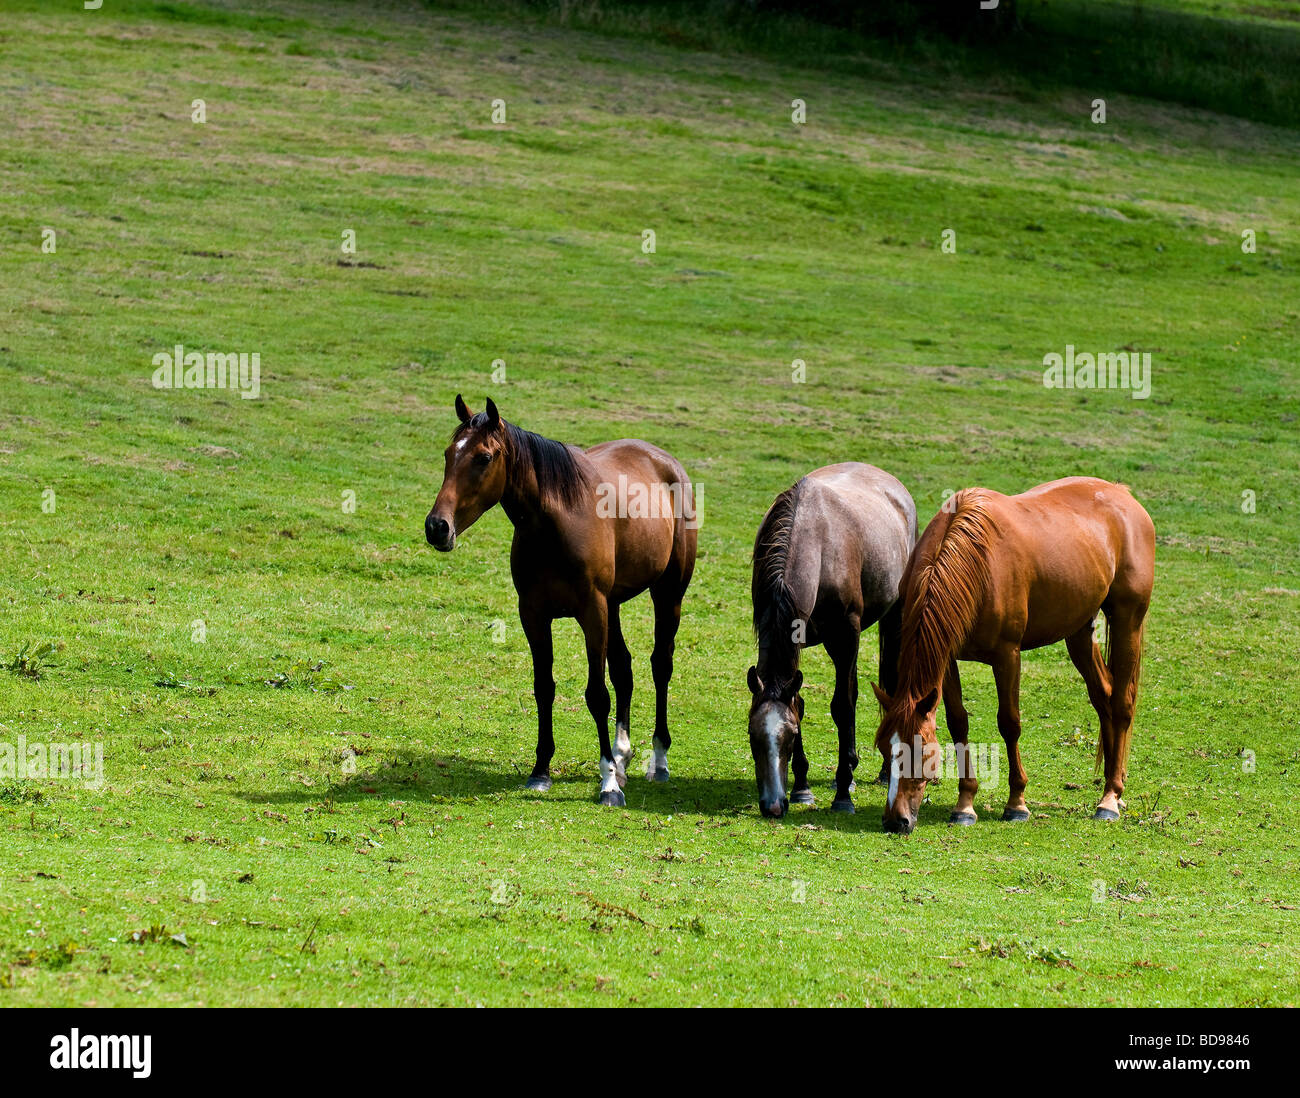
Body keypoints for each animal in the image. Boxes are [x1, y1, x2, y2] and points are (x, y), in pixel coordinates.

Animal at [425, 396, 697, 807]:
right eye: (447, 454)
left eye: (483, 457)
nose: (437, 527)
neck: (556, 523)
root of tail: (665, 460)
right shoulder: (533, 614)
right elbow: (544, 687)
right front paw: (541, 771)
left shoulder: (591, 611)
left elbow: (597, 695)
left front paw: (608, 784)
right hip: (614, 605)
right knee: (624, 669)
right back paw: (622, 755)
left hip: (667, 594)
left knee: (660, 665)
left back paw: (658, 760)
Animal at [747, 463, 917, 818]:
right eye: (753, 736)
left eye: (789, 737)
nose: (773, 805)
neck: (815, 543)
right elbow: (798, 701)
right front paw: (802, 787)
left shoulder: (846, 634)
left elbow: (843, 705)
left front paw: (841, 793)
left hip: (894, 616)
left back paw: (883, 771)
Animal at [873, 476, 1155, 833]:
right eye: (884, 747)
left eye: (920, 751)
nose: (895, 820)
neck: (976, 562)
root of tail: (1122, 494)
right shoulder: (948, 659)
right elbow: (958, 722)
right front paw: (965, 804)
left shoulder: (1007, 655)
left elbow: (1009, 723)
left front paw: (1016, 802)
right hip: (1079, 630)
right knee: (1103, 696)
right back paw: (1112, 787)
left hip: (1127, 621)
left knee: (1121, 705)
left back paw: (1110, 798)